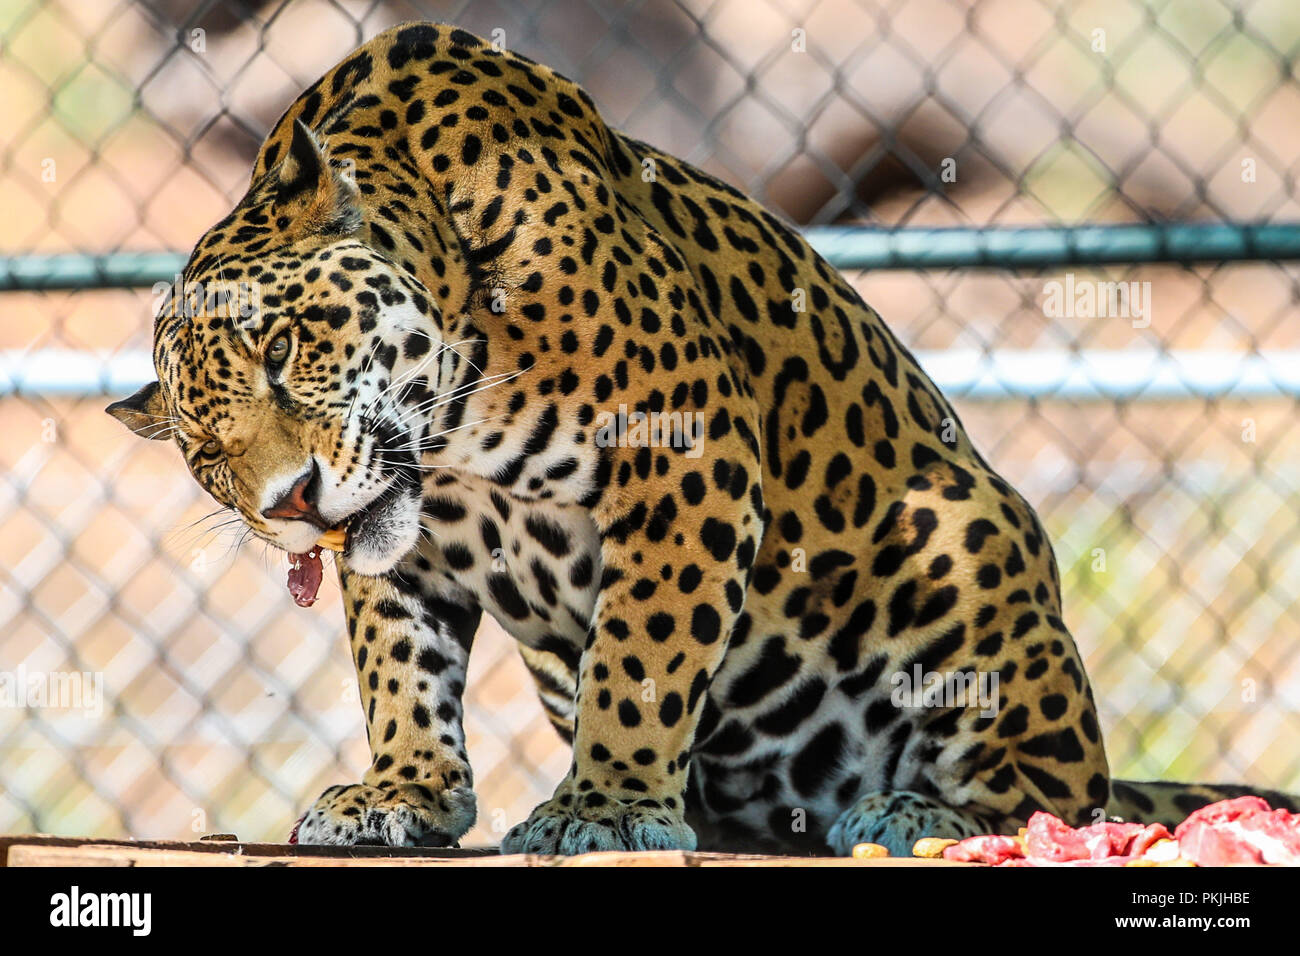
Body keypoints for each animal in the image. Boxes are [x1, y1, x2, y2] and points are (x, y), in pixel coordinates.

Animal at [107, 22, 1296, 856]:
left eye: (282, 347)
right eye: (206, 457)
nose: (290, 502)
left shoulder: (685, 456)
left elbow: (642, 655)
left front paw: (605, 804)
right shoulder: (400, 539)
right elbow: (401, 662)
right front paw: (405, 790)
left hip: (967, 538)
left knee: (1059, 792)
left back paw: (915, 809)